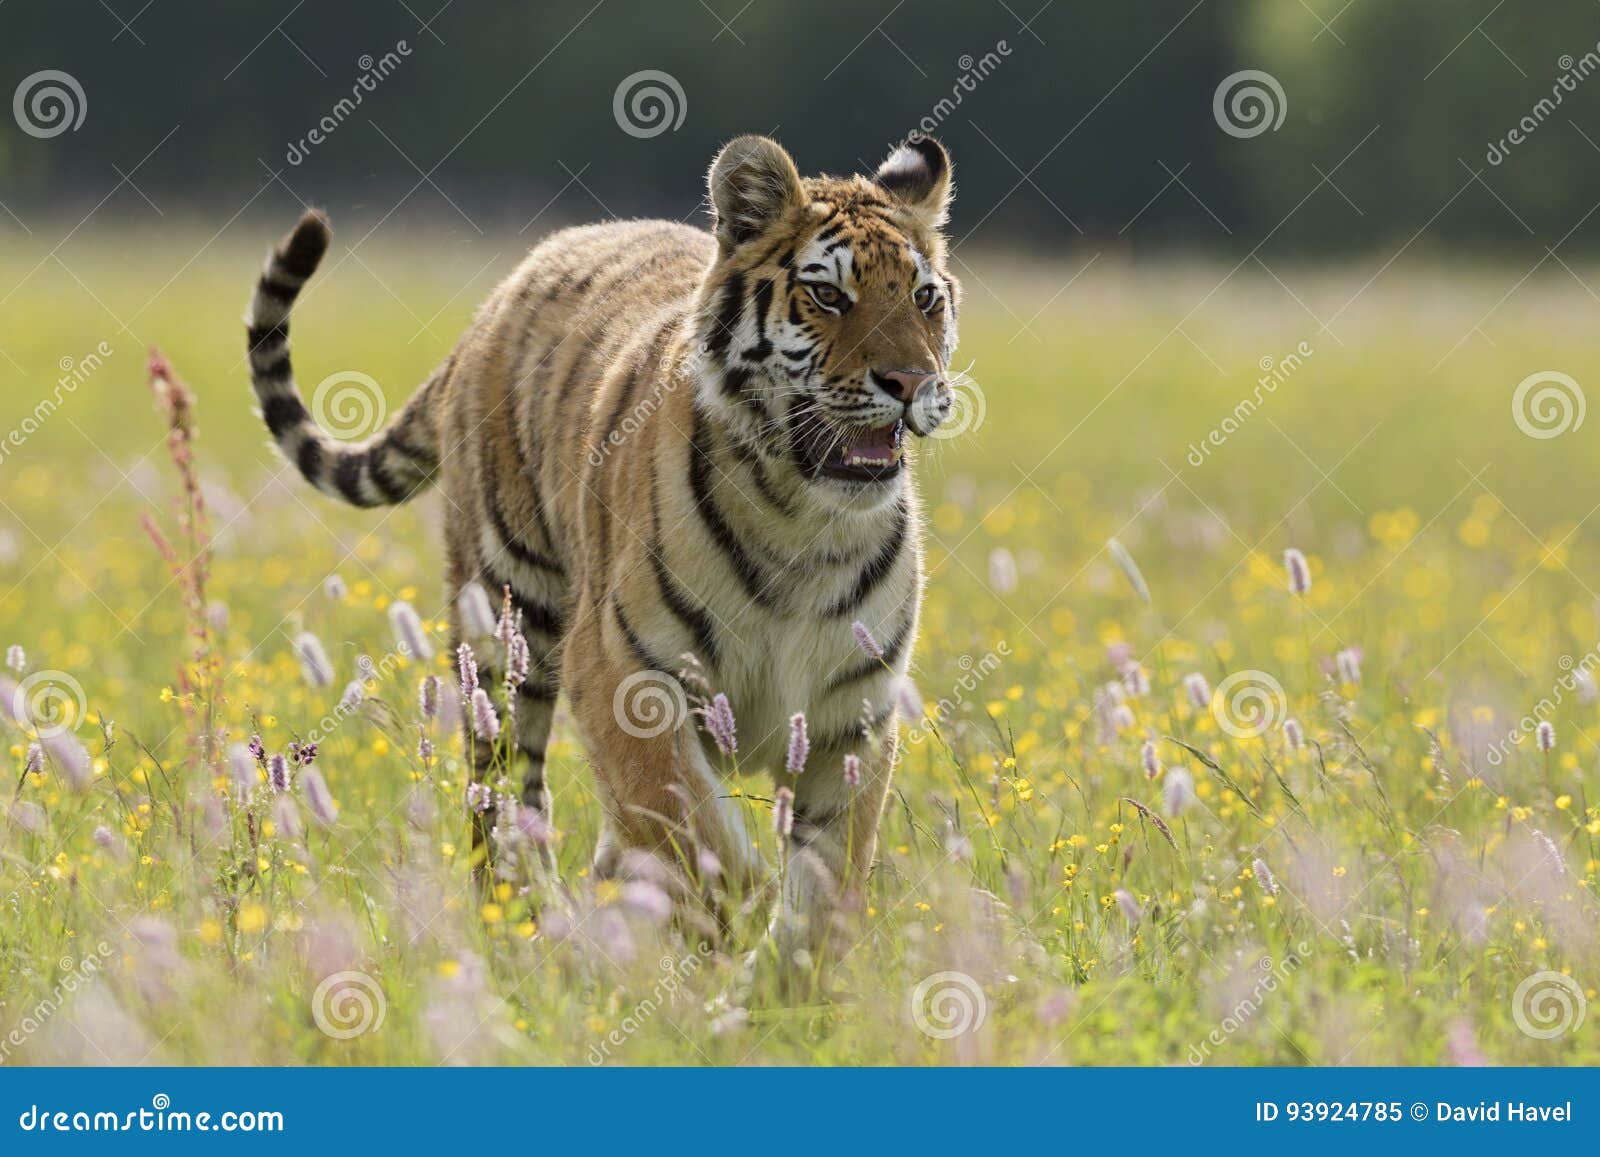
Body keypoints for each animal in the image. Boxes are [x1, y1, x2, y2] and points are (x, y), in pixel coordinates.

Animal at [243, 134, 960, 965]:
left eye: (924, 298)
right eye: (830, 296)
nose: (911, 381)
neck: (803, 521)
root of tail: (496, 300)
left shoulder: (854, 714)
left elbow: (830, 878)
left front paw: (788, 977)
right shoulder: (625, 675)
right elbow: (695, 831)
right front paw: (736, 927)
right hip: (508, 619)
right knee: (503, 794)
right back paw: (522, 920)